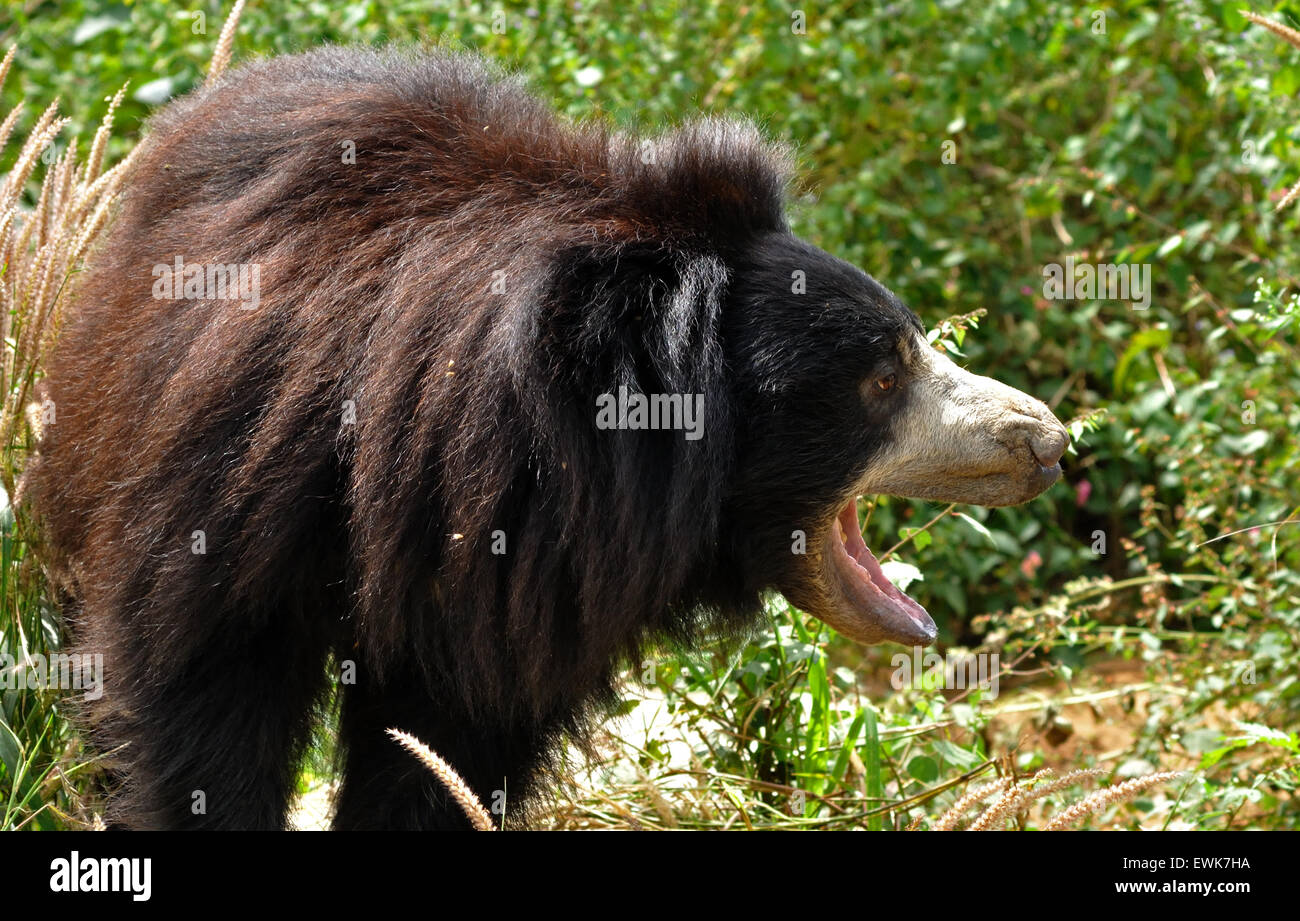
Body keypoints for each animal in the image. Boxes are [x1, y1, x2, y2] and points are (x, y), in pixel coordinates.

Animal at [26, 46, 1069, 830]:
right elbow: (204, 686)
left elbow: (446, 744)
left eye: (912, 346)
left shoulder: (510, 576)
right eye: (883, 380)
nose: (1047, 442)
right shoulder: (236, 472)